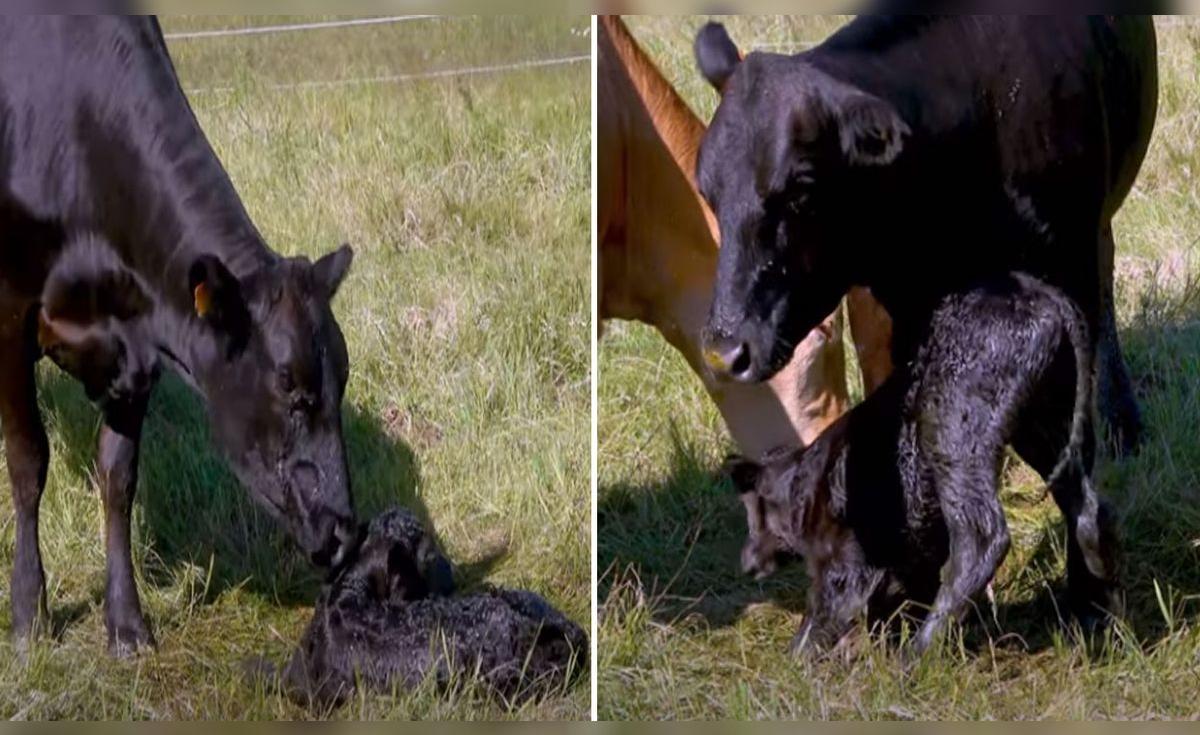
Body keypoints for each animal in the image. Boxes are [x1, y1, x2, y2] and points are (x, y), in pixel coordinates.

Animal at [0, 16, 359, 654]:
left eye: (342, 381)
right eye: (289, 389)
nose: (345, 536)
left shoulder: (136, 344)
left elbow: (119, 479)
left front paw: (127, 624)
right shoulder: (12, 309)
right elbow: (29, 461)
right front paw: (29, 614)